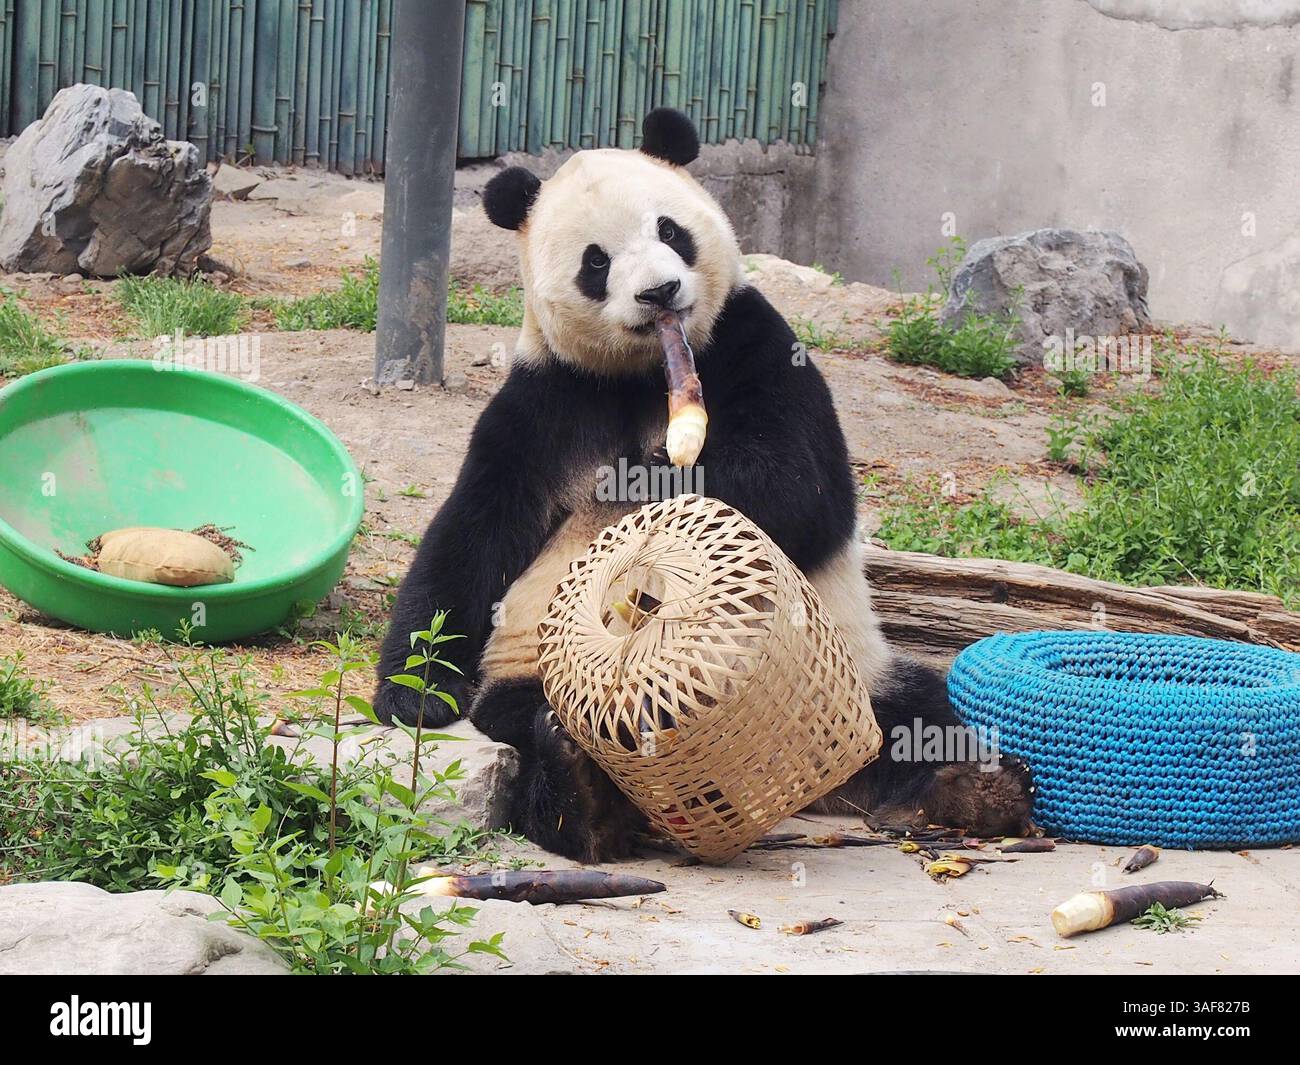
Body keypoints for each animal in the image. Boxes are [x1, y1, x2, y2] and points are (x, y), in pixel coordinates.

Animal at [375, 108, 1032, 862]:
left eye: (669, 230)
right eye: (596, 261)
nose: (660, 292)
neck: (644, 372)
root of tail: (825, 789)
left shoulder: (754, 342)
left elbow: (800, 487)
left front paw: (652, 480)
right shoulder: (549, 398)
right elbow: (473, 531)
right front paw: (414, 694)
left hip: (862, 668)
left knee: (918, 710)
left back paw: (972, 789)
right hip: (532, 670)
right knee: (527, 718)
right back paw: (582, 795)